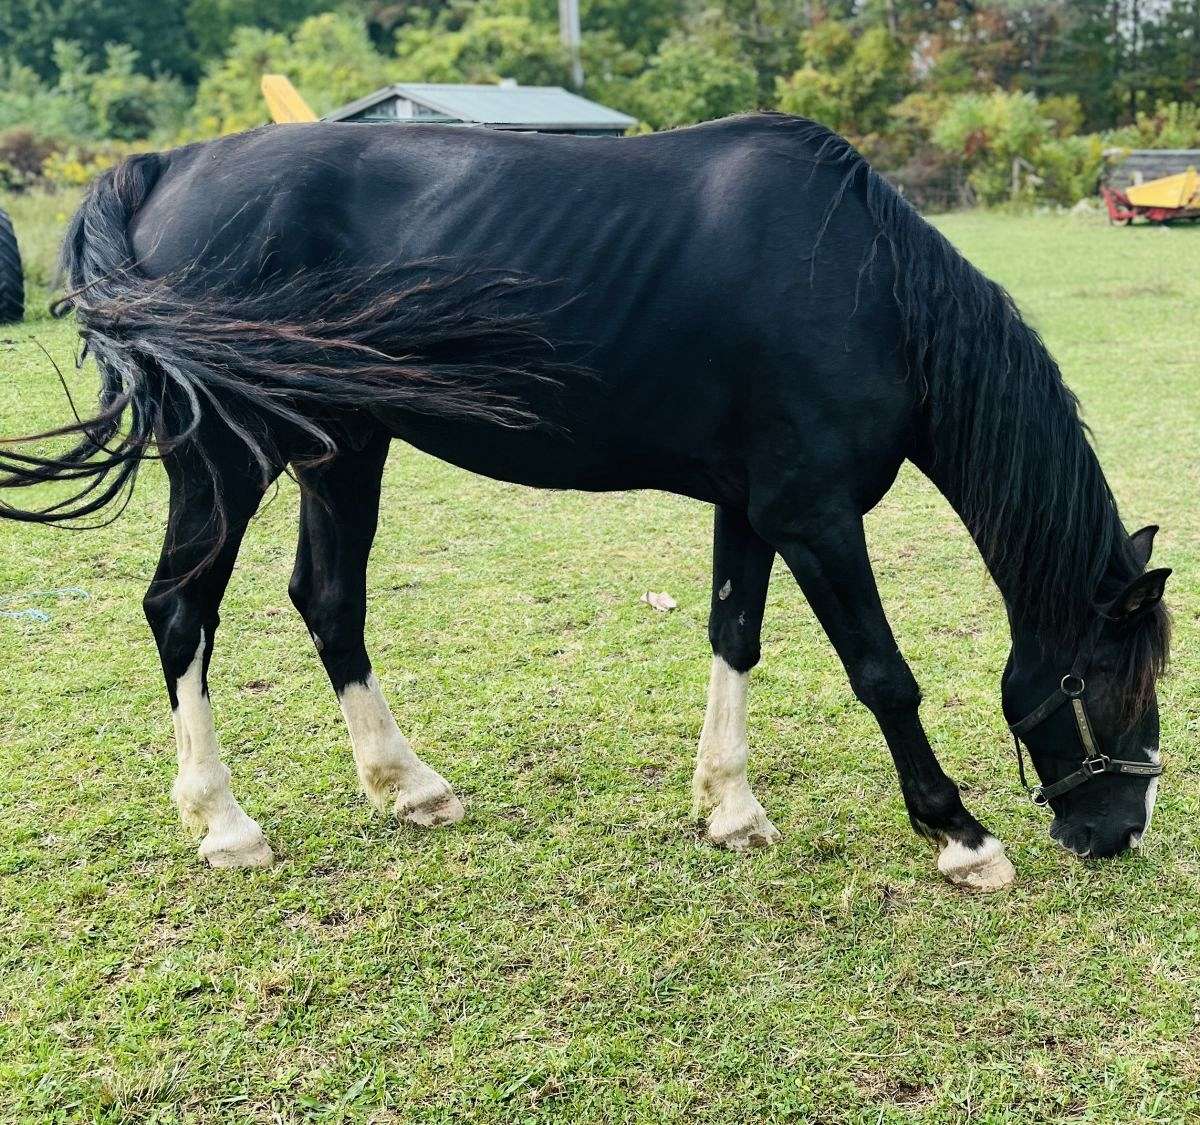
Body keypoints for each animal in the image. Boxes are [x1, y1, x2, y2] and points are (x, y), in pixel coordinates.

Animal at [0, 114, 1170, 888]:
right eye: (1112, 680)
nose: (1119, 832)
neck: (866, 290)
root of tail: (165, 169)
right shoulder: (815, 516)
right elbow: (885, 676)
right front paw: (960, 835)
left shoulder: (754, 507)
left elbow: (734, 635)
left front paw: (730, 807)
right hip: (223, 463)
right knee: (180, 612)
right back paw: (226, 824)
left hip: (345, 450)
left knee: (328, 603)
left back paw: (407, 786)